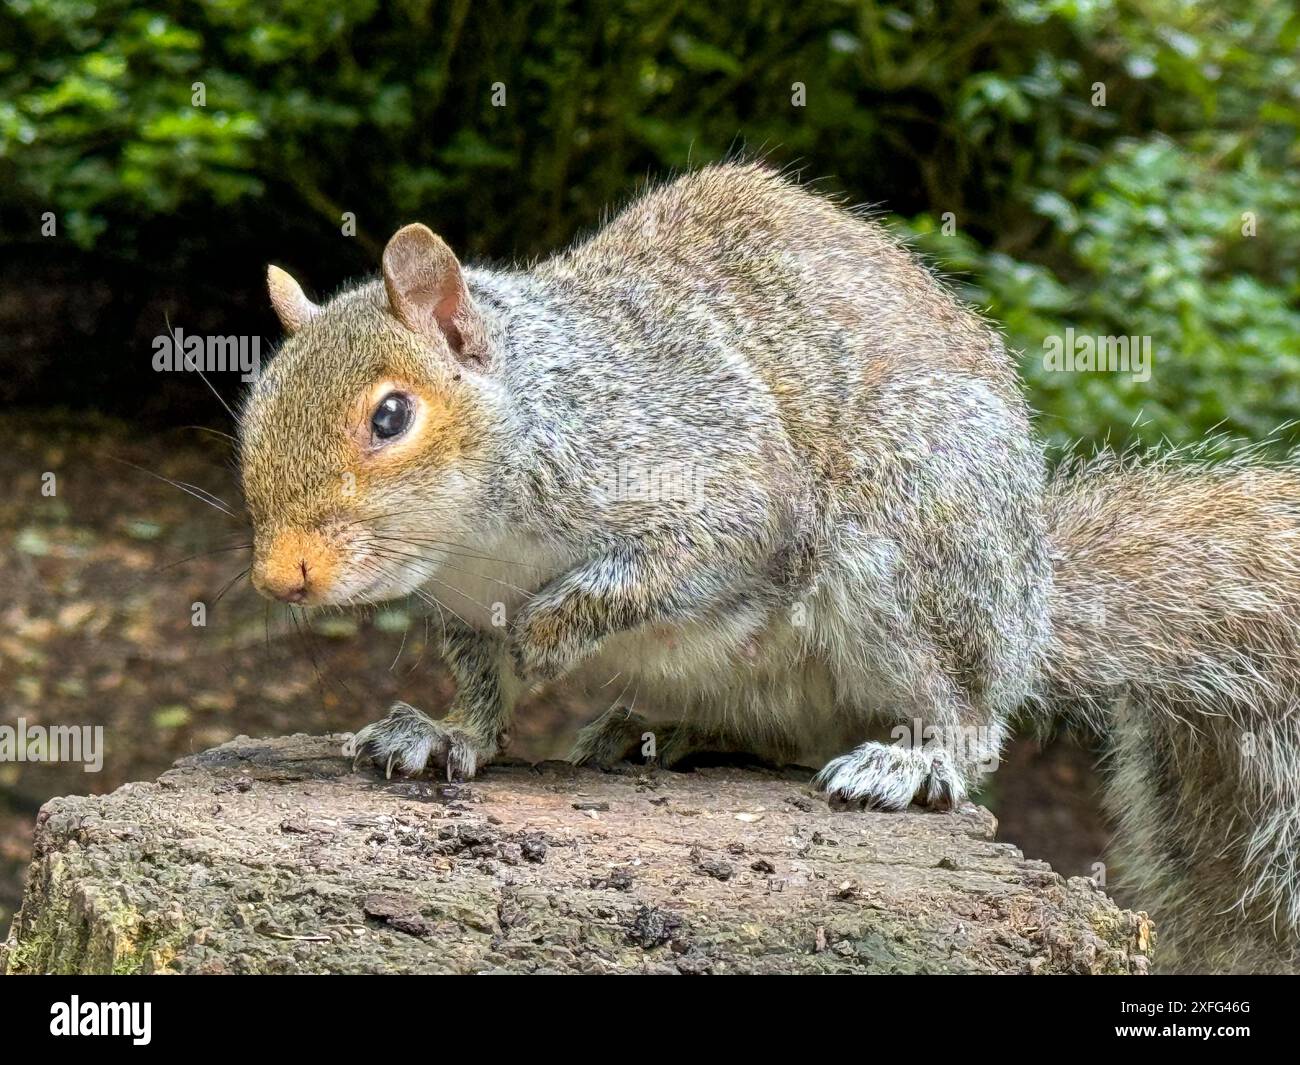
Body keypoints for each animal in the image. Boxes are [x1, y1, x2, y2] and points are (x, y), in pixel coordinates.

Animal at [238, 161, 1299, 974]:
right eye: (253, 409)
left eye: (391, 415)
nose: (282, 577)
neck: (479, 537)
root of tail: (1030, 611)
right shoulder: (460, 608)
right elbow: (481, 694)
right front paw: (444, 734)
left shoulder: (721, 484)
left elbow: (673, 565)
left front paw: (552, 627)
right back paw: (664, 731)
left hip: (912, 552)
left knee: (971, 722)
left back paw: (912, 760)